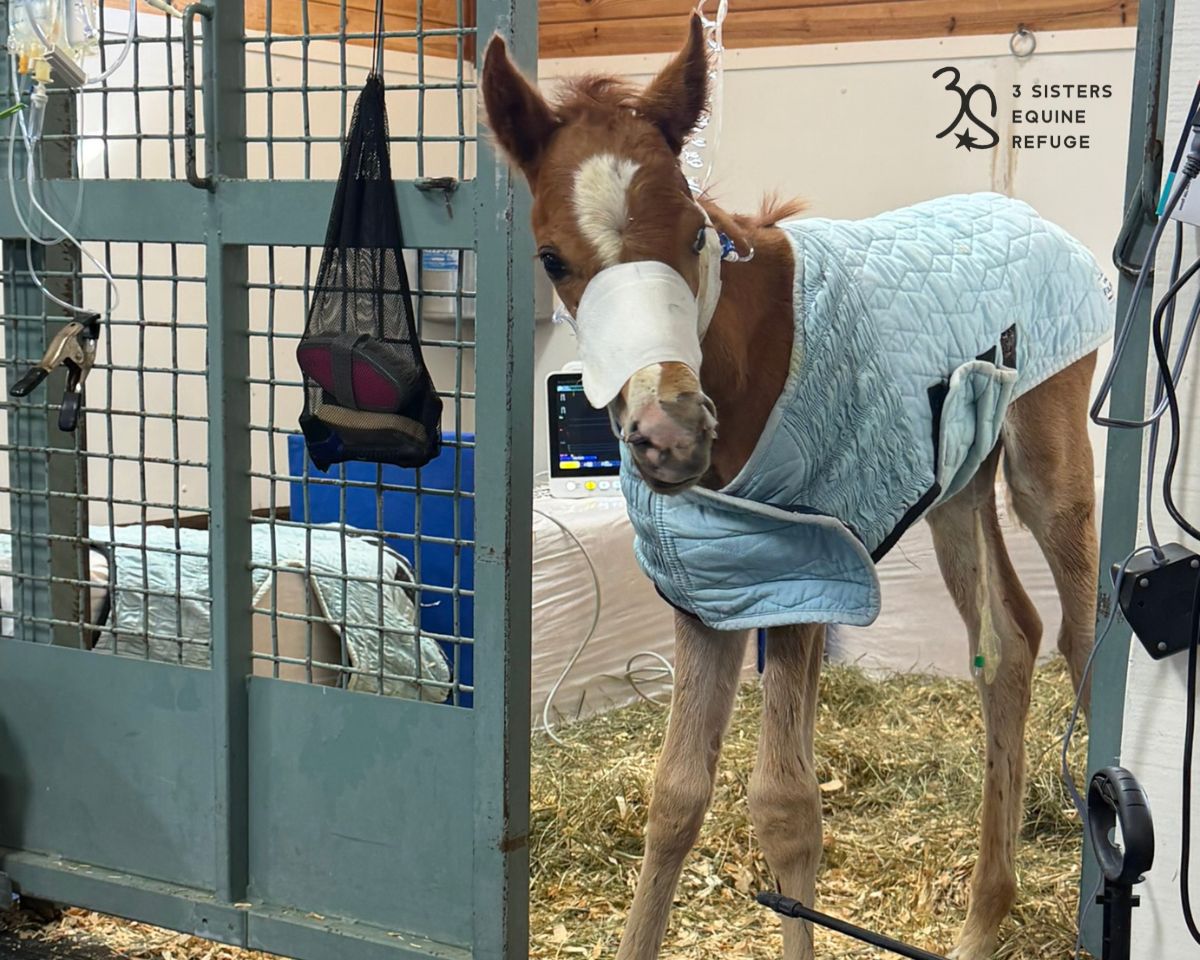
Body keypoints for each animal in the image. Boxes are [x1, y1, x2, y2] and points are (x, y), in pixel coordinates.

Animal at [481, 16, 1101, 960]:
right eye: (551, 257)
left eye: (693, 233)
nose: (670, 433)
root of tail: (1020, 209)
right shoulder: (712, 586)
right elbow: (674, 796)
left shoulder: (808, 568)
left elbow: (785, 804)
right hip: (957, 483)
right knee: (1009, 639)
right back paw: (980, 921)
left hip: (1045, 459)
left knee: (1084, 635)